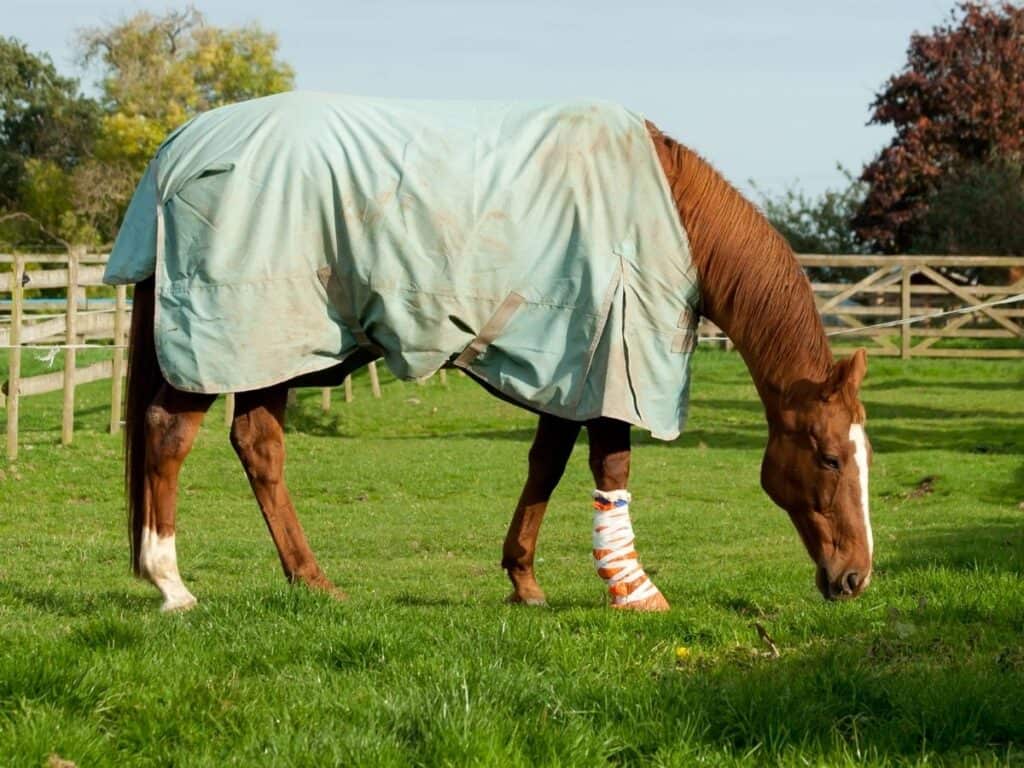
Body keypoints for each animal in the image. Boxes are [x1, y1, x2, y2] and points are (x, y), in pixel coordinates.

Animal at [116, 98, 873, 613]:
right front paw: (634, 589)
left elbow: (547, 465)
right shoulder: (611, 361)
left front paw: (525, 579)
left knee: (258, 445)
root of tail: (180, 147)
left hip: (275, 349)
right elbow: (610, 467)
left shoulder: (571, 367)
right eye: (831, 459)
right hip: (234, 337)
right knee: (171, 433)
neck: (670, 216)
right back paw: (172, 584)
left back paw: (310, 578)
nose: (856, 577)